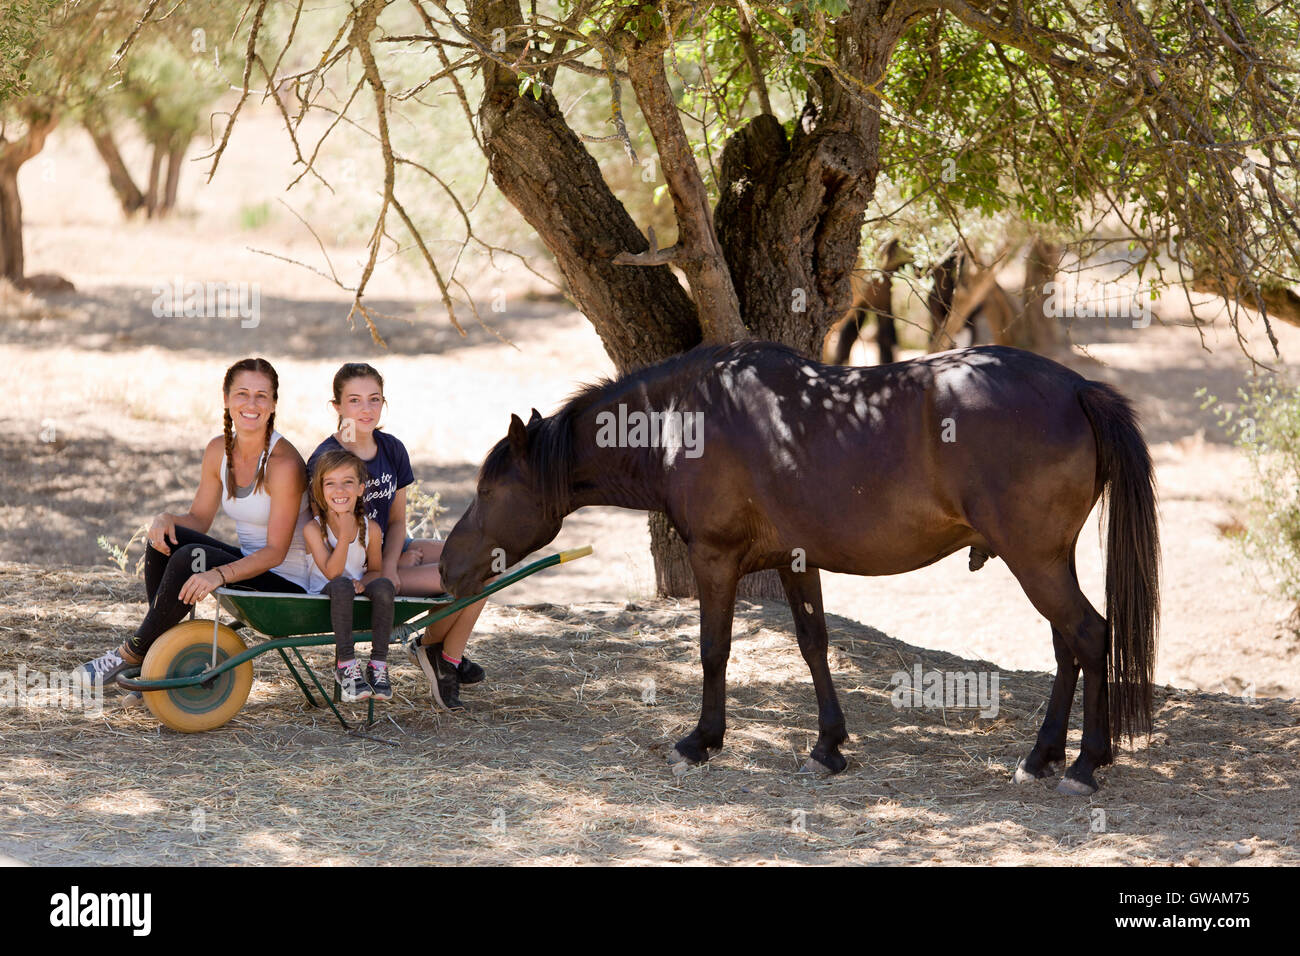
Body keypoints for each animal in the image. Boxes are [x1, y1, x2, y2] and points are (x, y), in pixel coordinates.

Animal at [439, 341, 1160, 795]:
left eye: (490, 489)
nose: (446, 567)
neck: (687, 420)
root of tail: (1077, 387)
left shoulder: (715, 558)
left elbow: (714, 648)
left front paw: (701, 740)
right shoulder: (796, 560)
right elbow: (814, 644)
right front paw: (828, 747)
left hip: (1035, 561)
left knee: (1090, 636)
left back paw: (1084, 765)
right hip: (1045, 561)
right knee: (1069, 648)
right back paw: (1042, 757)